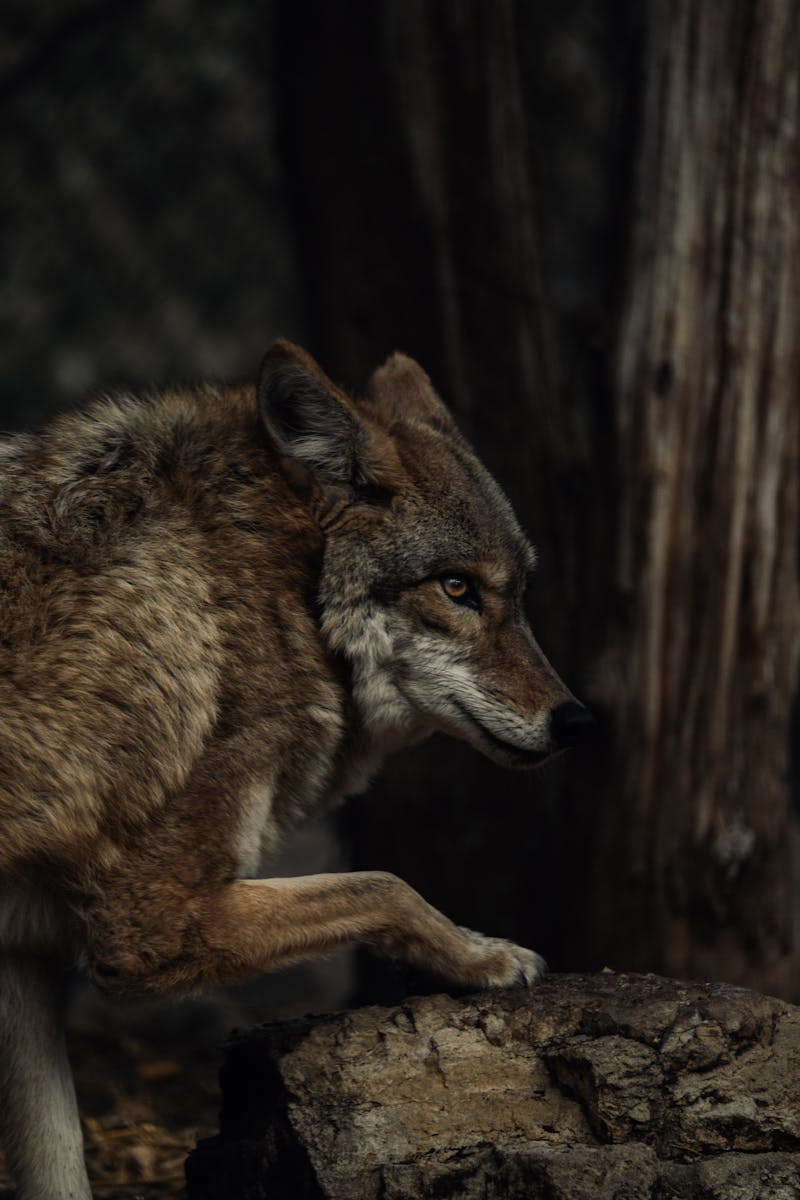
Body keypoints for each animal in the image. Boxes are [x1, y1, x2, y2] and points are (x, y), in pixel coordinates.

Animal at [0, 342, 591, 1198]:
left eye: (518, 596)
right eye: (457, 588)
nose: (576, 721)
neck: (277, 592)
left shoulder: (23, 947)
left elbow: (57, 1159)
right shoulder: (149, 924)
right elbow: (387, 885)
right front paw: (485, 957)